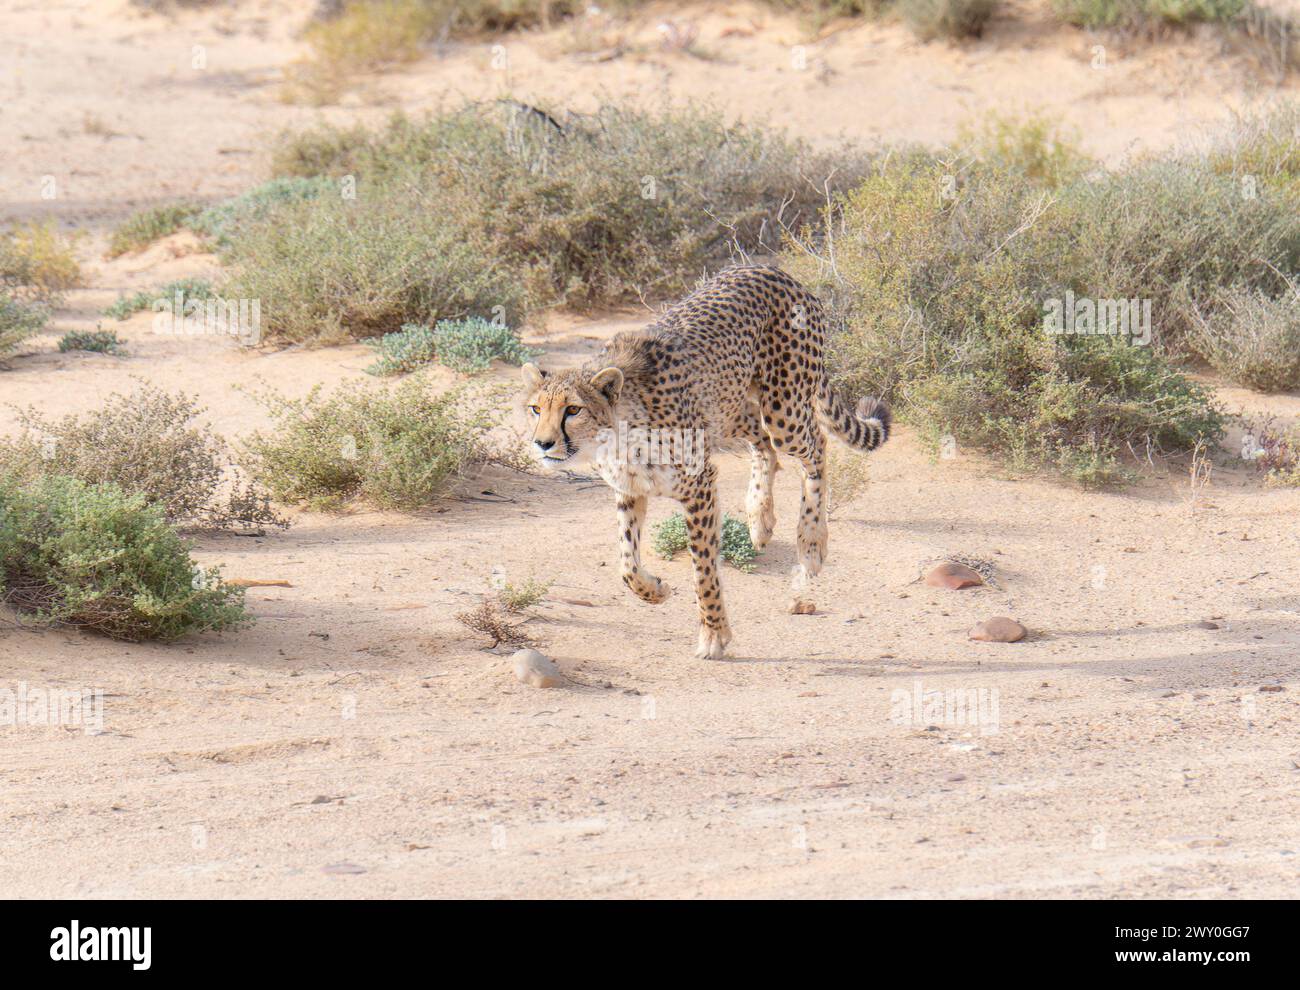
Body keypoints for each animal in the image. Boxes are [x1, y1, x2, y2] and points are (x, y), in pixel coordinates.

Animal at [520, 265, 890, 659]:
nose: (543, 443)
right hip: (729, 407)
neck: (618, 429)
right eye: (536, 408)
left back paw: (810, 543)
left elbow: (703, 568)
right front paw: (655, 590)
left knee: (815, 444)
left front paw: (713, 634)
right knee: (761, 438)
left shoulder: (699, 486)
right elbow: (626, 562)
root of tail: (772, 270)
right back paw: (759, 515)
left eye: (573, 410)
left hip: (784, 408)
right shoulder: (630, 489)